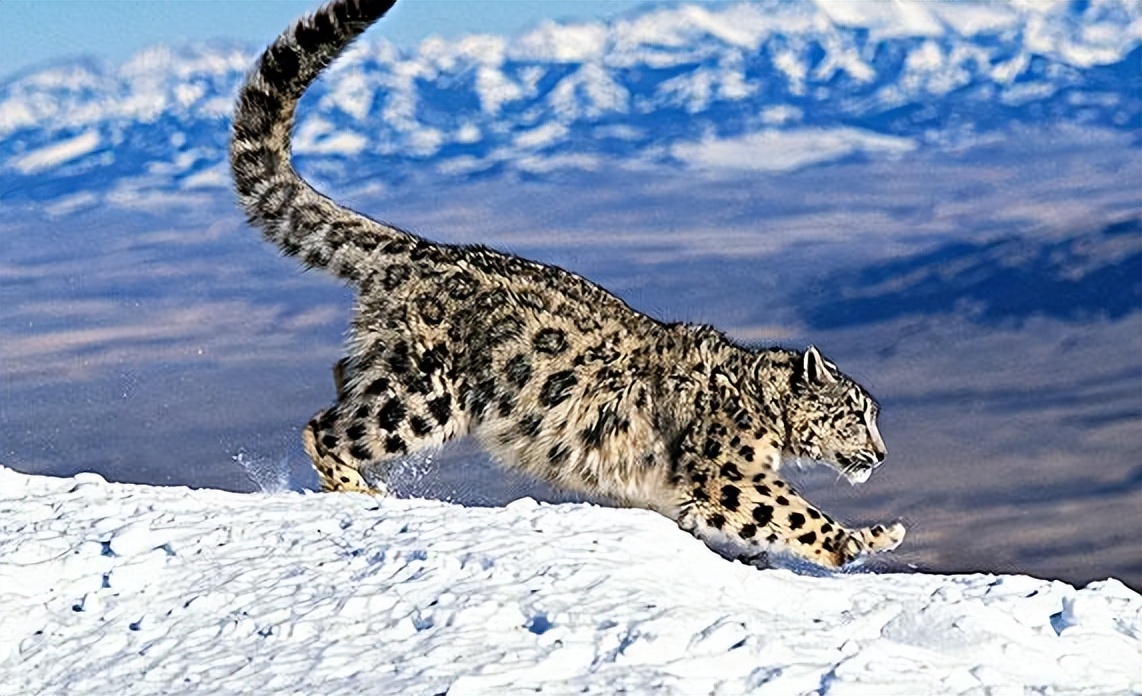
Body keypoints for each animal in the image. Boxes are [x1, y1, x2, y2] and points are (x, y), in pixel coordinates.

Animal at [228, 0, 905, 569]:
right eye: (856, 414)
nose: (880, 455)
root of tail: (422, 249)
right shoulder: (727, 474)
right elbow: (792, 513)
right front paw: (866, 538)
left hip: (392, 373)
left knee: (343, 381)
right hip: (422, 396)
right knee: (326, 427)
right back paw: (362, 489)